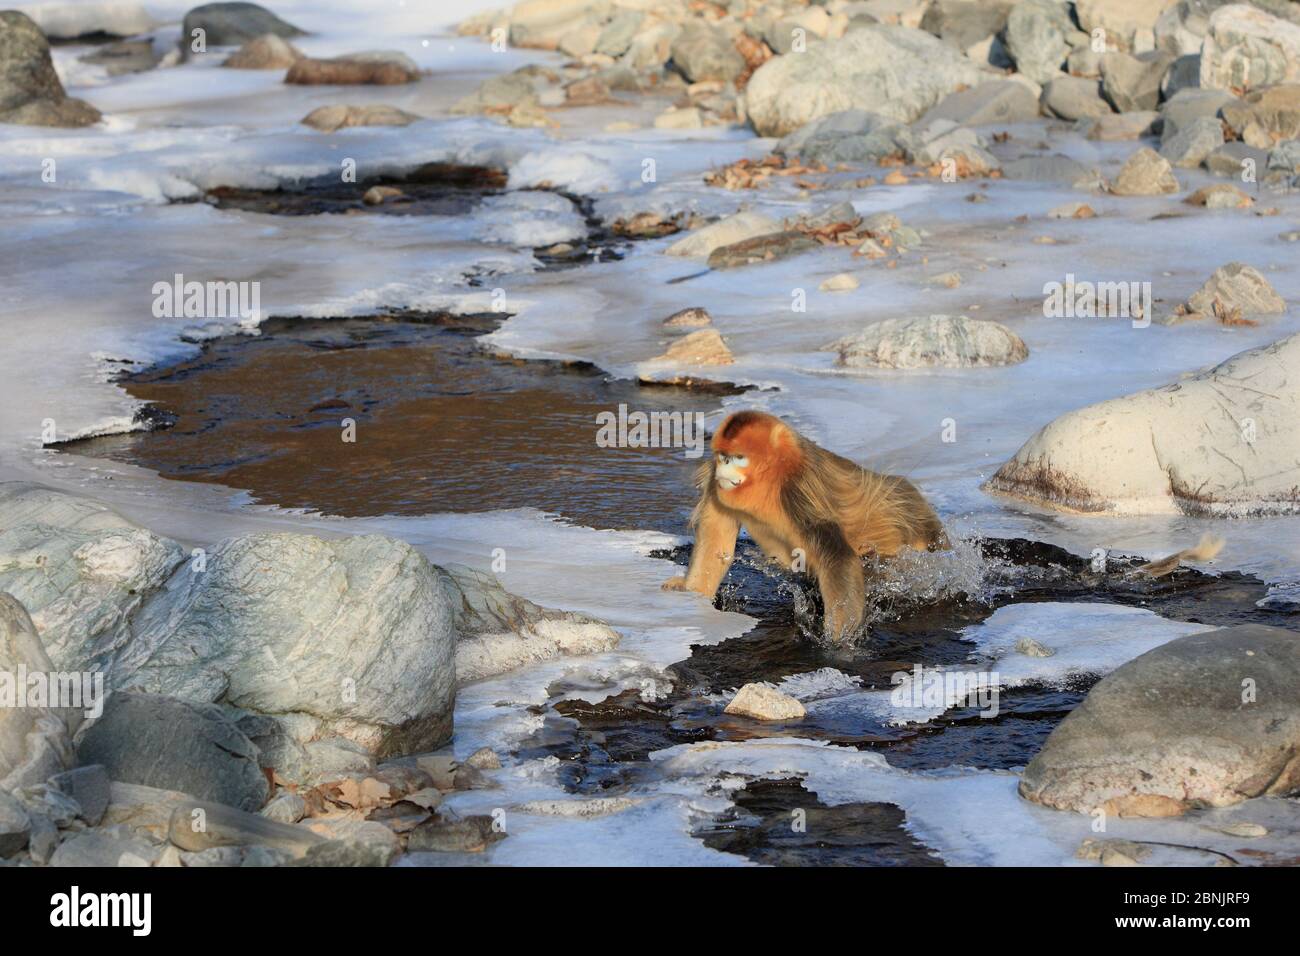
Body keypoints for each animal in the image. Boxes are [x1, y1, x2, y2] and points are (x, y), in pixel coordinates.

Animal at [662, 410, 946, 642]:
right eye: (723, 457)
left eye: (738, 458)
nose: (723, 469)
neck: (773, 476)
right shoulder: (717, 483)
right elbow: (715, 539)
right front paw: (692, 593)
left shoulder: (798, 490)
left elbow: (839, 558)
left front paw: (838, 642)